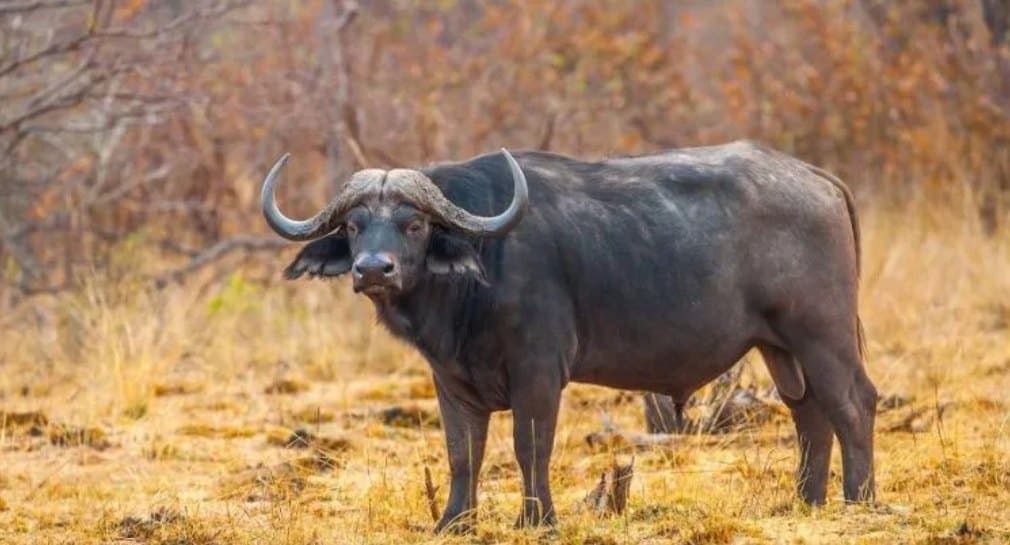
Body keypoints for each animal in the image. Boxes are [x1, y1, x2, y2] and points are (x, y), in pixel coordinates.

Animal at [260, 141, 876, 532]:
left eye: (413, 224)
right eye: (354, 226)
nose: (373, 270)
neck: (481, 271)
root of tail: (819, 180)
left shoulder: (538, 371)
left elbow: (530, 445)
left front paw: (536, 518)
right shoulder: (451, 381)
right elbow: (463, 452)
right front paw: (454, 521)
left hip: (822, 333)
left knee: (853, 404)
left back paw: (859, 500)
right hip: (780, 348)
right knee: (808, 412)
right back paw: (807, 502)